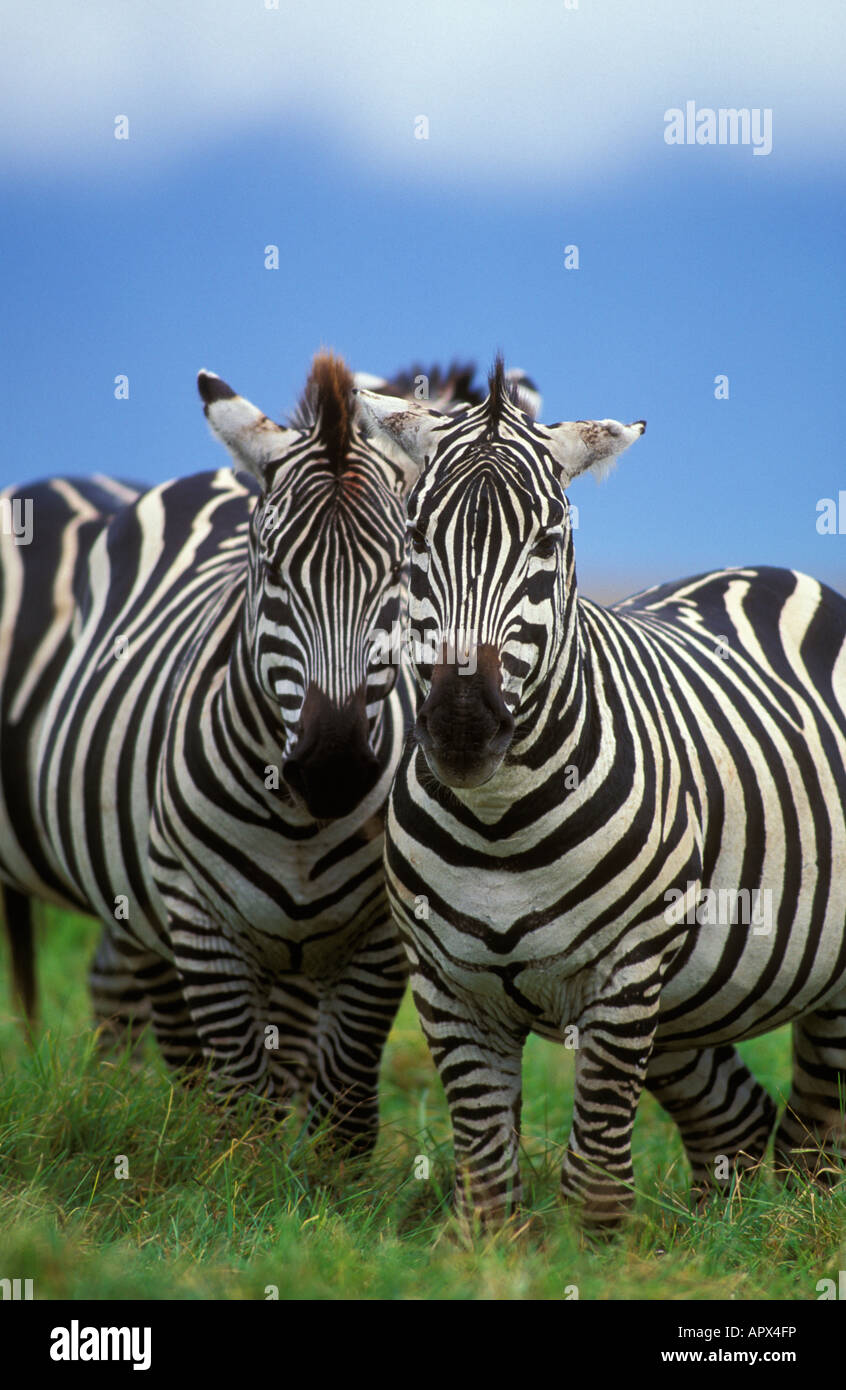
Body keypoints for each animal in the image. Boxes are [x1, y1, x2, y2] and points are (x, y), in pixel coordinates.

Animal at [0, 352, 436, 1154]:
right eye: (271, 567)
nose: (332, 767)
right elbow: (237, 1099)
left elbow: (342, 1102)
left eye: (400, 574)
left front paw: (328, 1181)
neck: (299, 826)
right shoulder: (200, 923)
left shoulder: (380, 935)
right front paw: (235, 1173)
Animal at [356, 359, 846, 1225]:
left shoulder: (625, 972)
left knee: (814, 1135)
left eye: (549, 543)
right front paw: (494, 1246)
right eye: (415, 540)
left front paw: (595, 1246)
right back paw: (721, 1229)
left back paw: (794, 1226)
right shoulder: (445, 984)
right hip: (690, 997)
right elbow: (486, 1172)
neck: (497, 826)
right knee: (737, 1118)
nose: (461, 725)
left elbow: (594, 1169)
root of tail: (777, 573)